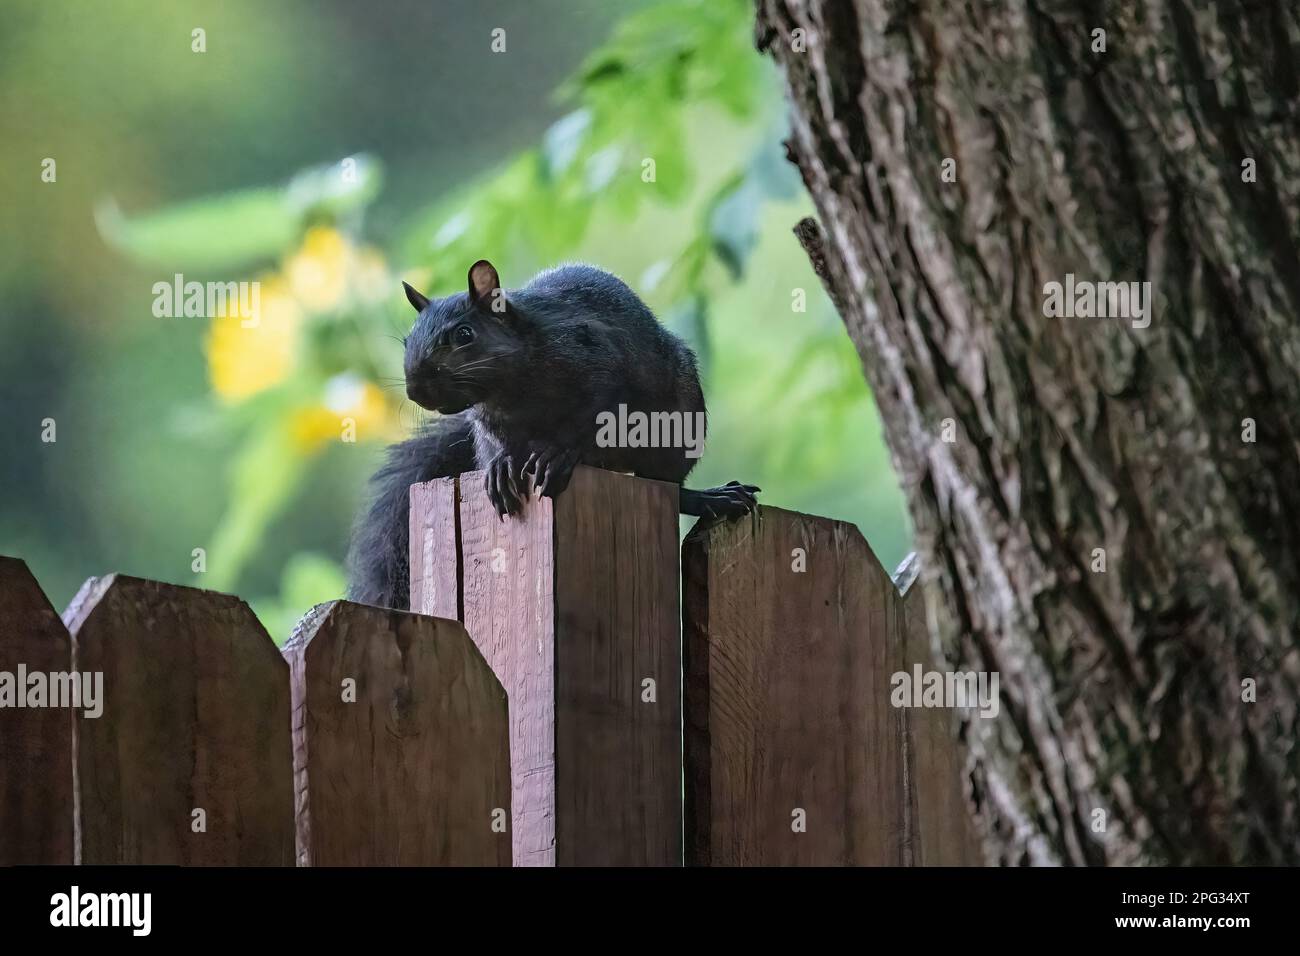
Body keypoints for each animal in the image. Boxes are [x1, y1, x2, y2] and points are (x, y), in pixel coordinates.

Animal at [346, 259, 760, 610]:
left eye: (464, 334)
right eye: (407, 341)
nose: (417, 390)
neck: (508, 392)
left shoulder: (598, 363)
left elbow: (591, 420)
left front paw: (558, 453)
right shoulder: (489, 423)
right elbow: (503, 445)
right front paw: (502, 465)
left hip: (676, 428)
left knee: (668, 485)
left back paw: (706, 498)